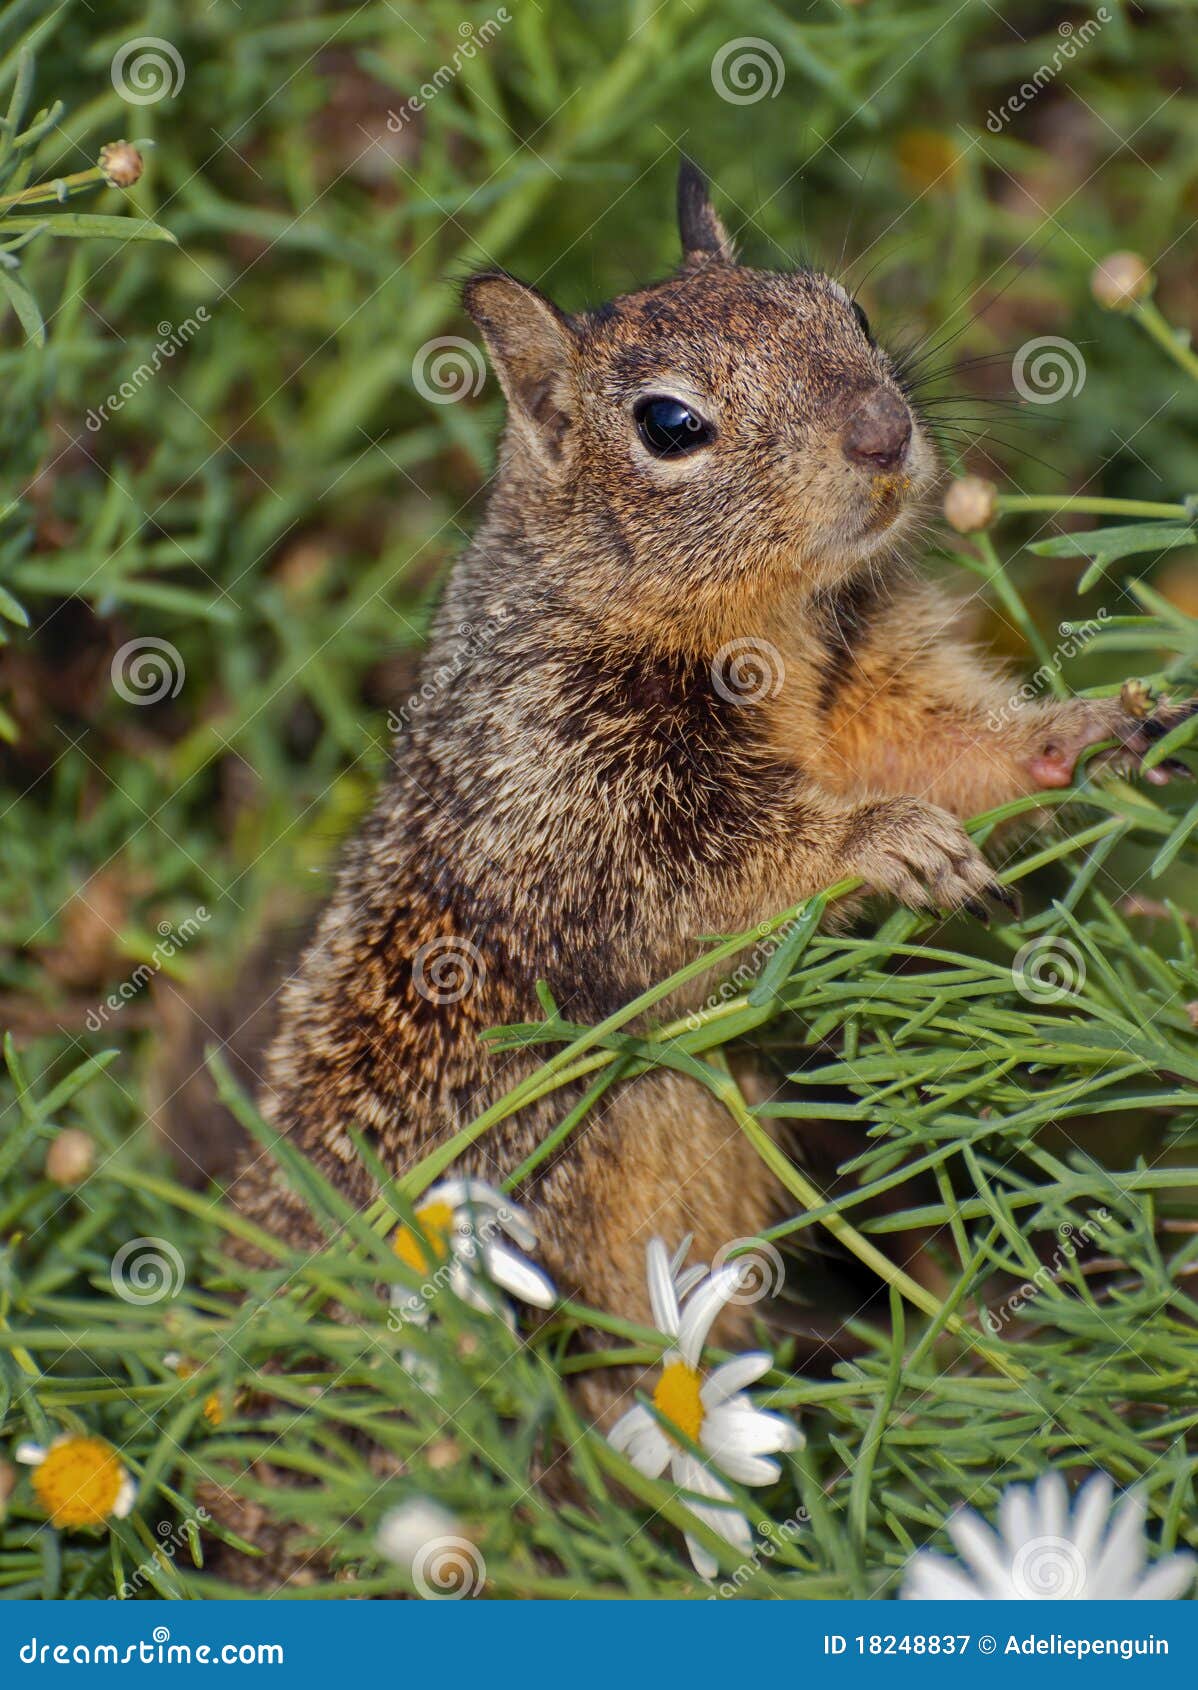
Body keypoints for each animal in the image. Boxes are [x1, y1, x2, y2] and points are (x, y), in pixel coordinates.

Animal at [226, 162, 1196, 1412]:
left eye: (849, 309)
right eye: (668, 424)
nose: (883, 431)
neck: (769, 628)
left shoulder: (870, 690)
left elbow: (948, 750)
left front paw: (1077, 734)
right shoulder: (564, 799)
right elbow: (696, 894)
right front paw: (880, 841)